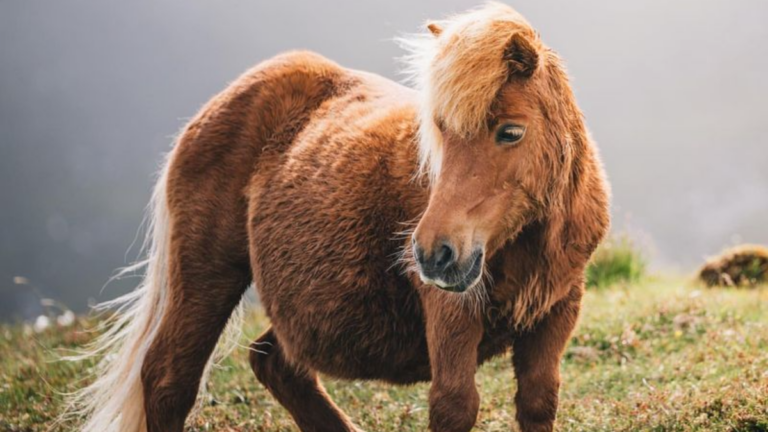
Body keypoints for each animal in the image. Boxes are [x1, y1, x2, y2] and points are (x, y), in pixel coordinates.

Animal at [69, 3, 609, 432]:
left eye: (511, 132)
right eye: (439, 129)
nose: (433, 253)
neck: (528, 242)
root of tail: (226, 100)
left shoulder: (558, 310)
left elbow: (538, 401)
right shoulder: (451, 315)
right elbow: (455, 405)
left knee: (274, 363)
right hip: (207, 275)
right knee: (169, 379)